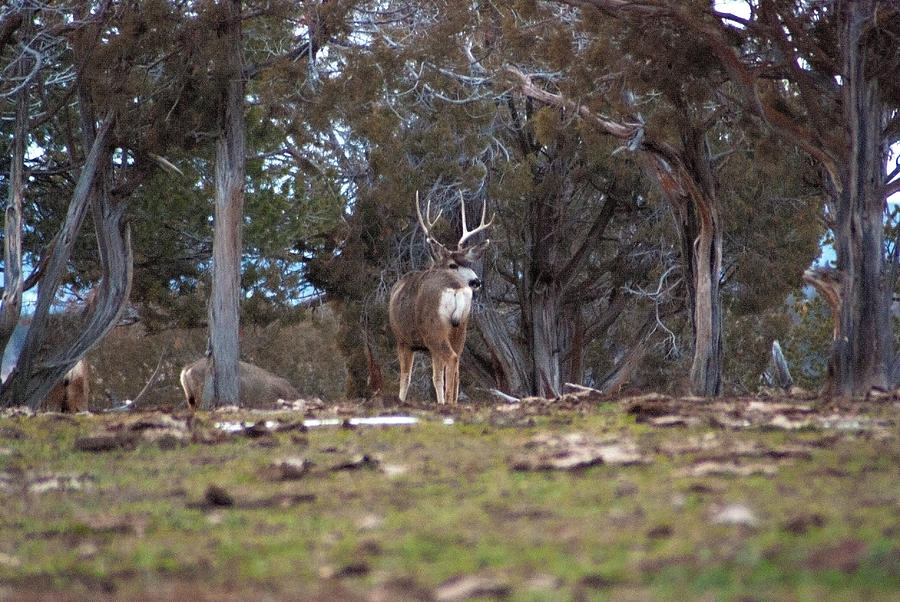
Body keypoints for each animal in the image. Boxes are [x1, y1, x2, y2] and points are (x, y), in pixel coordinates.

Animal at [388, 192, 493, 404]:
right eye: (454, 264)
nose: (477, 281)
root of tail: (455, 289)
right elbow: (436, 376)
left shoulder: (403, 339)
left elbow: (407, 377)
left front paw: (402, 401)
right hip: (459, 329)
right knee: (457, 364)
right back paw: (452, 401)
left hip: (433, 328)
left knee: (451, 359)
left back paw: (449, 403)